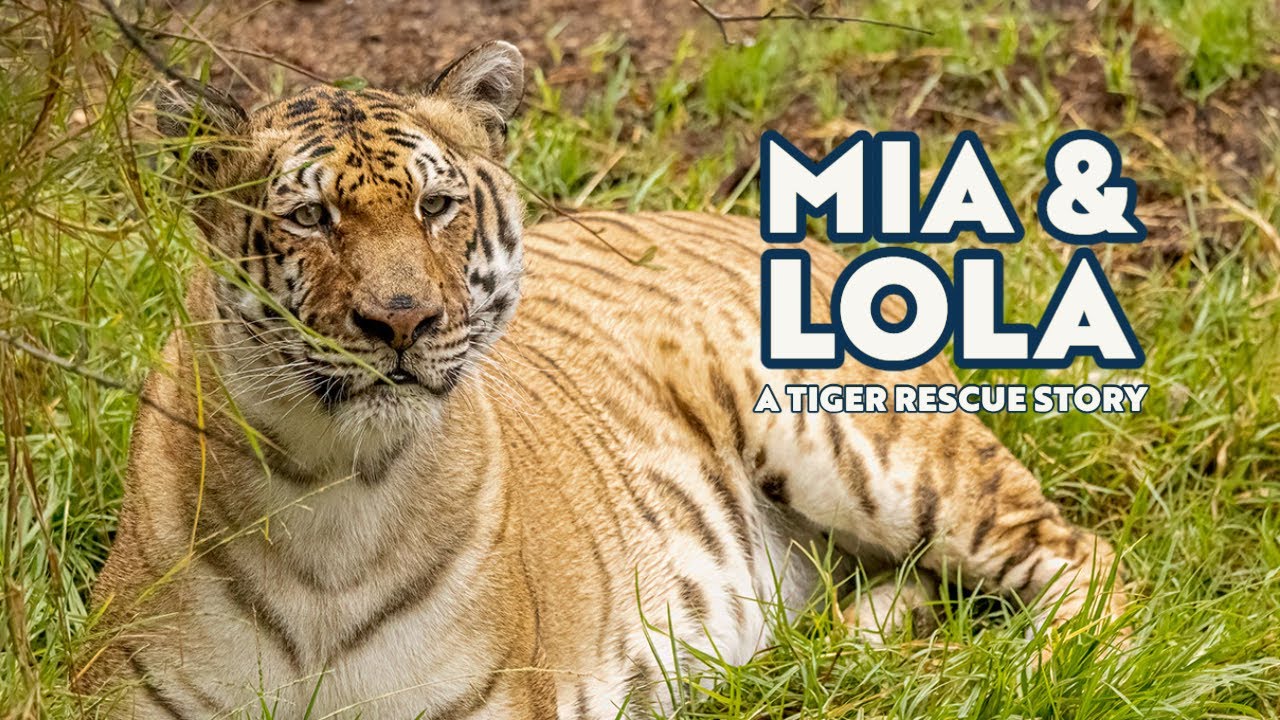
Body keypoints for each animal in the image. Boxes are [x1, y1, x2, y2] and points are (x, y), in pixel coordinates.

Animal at [79, 41, 1127, 720]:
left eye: (436, 206)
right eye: (309, 218)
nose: (403, 321)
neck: (329, 493)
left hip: (873, 452)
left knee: (1085, 557)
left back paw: (1041, 673)